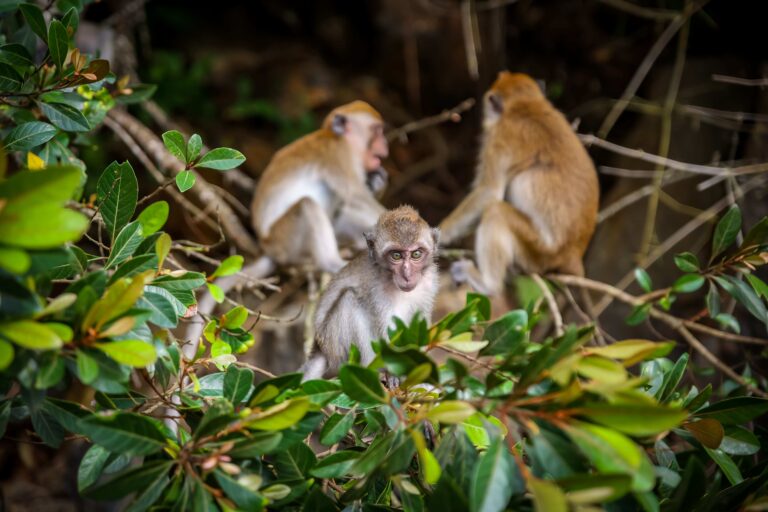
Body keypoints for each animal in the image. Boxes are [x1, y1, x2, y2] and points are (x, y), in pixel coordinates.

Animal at [251, 101, 390, 274]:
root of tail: (266, 247)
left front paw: (378, 180)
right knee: (307, 204)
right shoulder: (337, 153)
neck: (337, 137)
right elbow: (355, 196)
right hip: (283, 241)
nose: (385, 143)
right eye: (377, 130)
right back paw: (333, 264)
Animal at [301, 206, 440, 380]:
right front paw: (394, 373)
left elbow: (420, 319)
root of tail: (319, 348)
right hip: (334, 347)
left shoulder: (430, 281)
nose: (407, 275)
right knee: (349, 300)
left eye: (416, 254)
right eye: (396, 255)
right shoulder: (377, 287)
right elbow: (386, 326)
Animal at [438, 71, 599, 296]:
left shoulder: (498, 137)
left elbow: (489, 192)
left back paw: (488, 285)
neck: (526, 105)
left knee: (496, 211)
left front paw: (438, 234)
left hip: (537, 250)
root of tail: (573, 254)